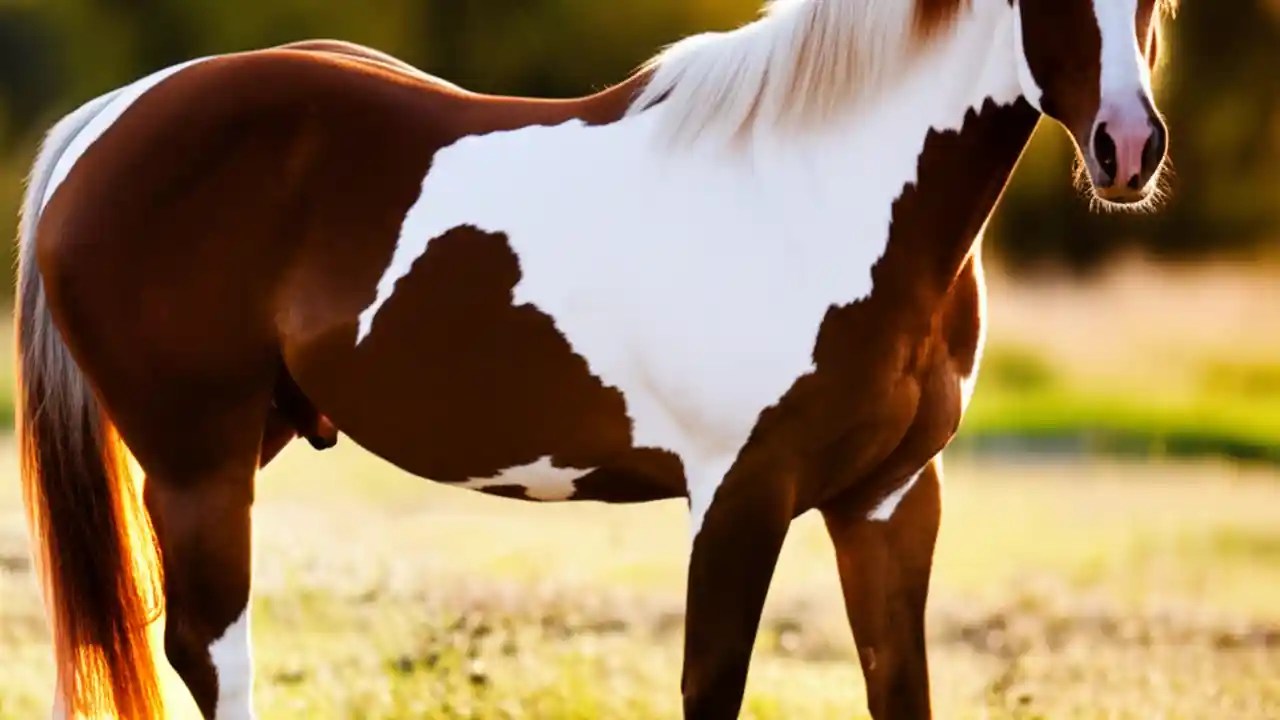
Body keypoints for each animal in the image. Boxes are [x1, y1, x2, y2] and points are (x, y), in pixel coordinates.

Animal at [15, 0, 1177, 717]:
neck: (824, 192)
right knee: (213, 652)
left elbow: (900, 685)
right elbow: (712, 685)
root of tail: (109, 119)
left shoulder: (889, 499)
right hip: (197, 467)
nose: (1127, 149)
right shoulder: (739, 495)